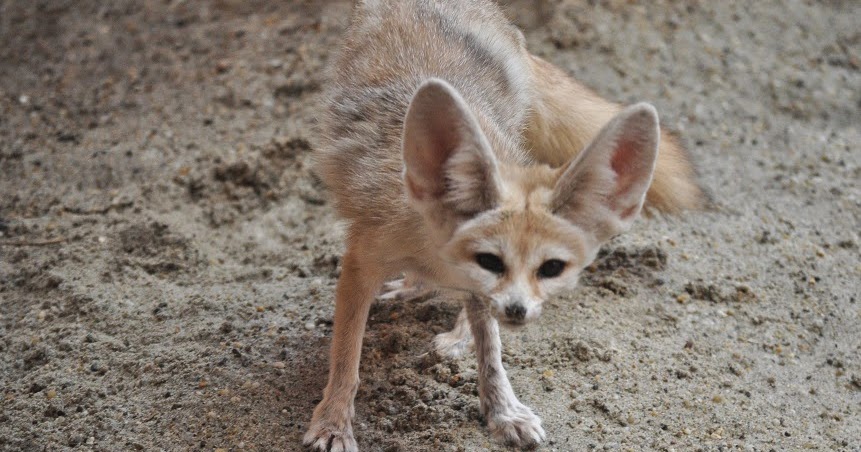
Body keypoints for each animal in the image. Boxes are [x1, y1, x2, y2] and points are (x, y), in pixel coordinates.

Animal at [303, 0, 706, 450]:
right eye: (490, 260)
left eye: (551, 269)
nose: (517, 309)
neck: (432, 248)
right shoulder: (360, 263)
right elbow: (346, 358)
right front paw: (334, 422)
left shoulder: (479, 292)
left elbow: (491, 352)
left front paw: (501, 410)